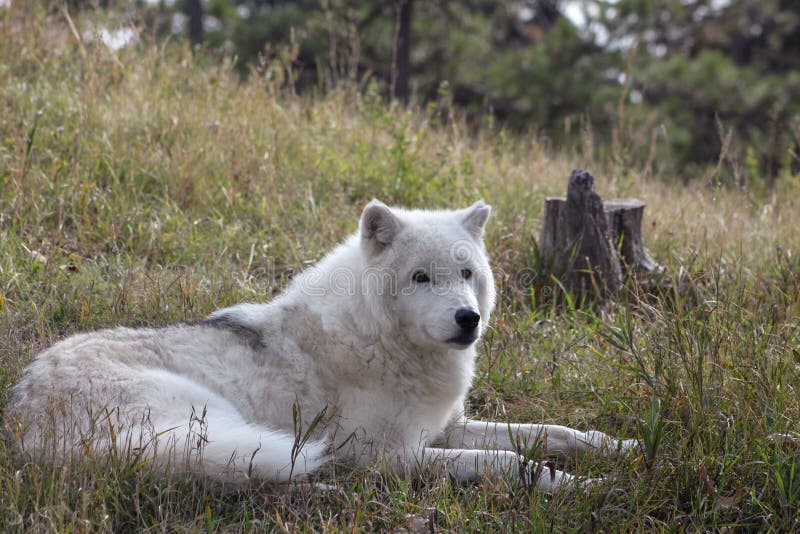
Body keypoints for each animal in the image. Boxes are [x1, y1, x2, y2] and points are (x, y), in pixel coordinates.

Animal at [8, 200, 635, 491]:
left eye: (466, 274)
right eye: (421, 278)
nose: (468, 319)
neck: (379, 341)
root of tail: (23, 426)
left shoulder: (444, 428)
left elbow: (555, 432)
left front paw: (621, 449)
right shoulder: (388, 457)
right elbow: (511, 461)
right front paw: (582, 486)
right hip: (211, 421)